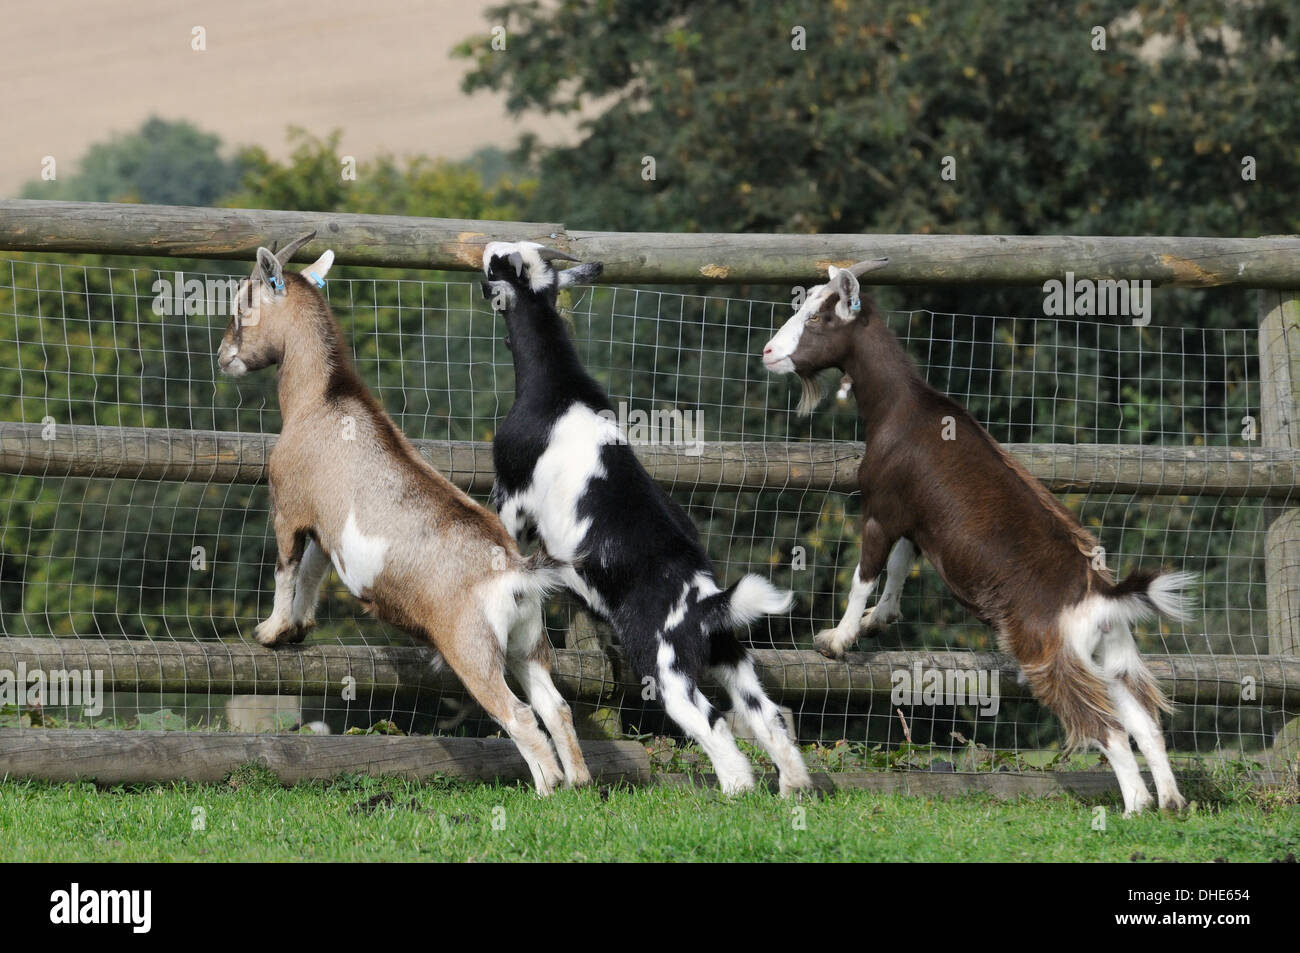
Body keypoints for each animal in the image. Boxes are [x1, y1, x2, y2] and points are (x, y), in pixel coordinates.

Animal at [216, 233, 590, 795]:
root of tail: (515, 572)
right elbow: (312, 574)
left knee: (520, 715)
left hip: (472, 650)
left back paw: (547, 789)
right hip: (528, 644)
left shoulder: (290, 507)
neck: (322, 399)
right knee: (556, 706)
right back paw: (580, 782)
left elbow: (286, 569)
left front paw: (271, 631)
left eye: (245, 303)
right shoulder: (327, 532)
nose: (223, 356)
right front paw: (298, 629)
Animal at [482, 241, 813, 796]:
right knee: (765, 713)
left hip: (665, 665)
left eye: (500, 262)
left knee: (711, 721)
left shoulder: (514, 495)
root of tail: (706, 599)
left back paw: (737, 790)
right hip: (728, 654)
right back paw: (793, 787)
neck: (555, 386)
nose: (486, 248)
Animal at [762, 259, 1195, 815]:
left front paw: (838, 639)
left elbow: (866, 572)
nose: (769, 353)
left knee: (1110, 731)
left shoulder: (883, 509)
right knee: (1146, 724)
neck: (901, 408)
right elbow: (899, 568)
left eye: (819, 317)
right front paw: (880, 619)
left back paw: (1135, 806)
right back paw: (1169, 802)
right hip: (1108, 653)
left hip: (1050, 656)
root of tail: (1102, 595)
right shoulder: (915, 522)